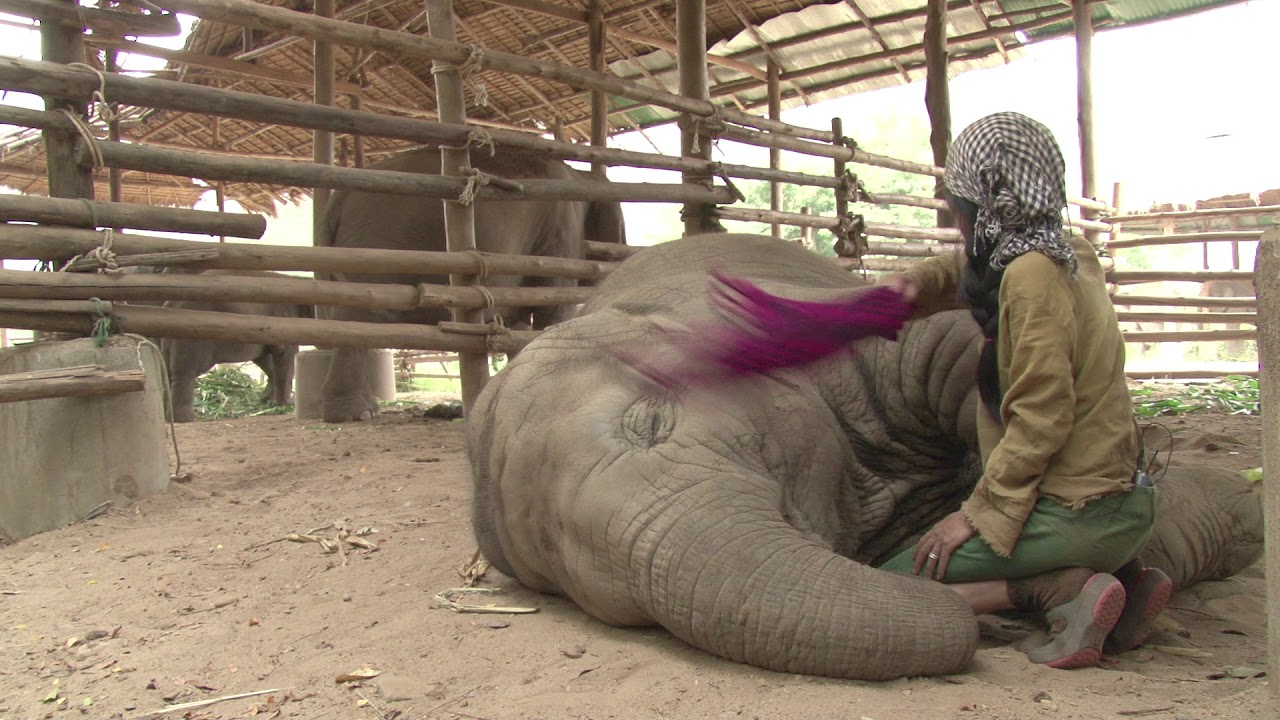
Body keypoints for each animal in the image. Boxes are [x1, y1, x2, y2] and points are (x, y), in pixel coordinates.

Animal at [315, 145, 626, 423]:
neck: (581, 177)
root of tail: (338, 196)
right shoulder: (560, 229)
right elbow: (553, 304)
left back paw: (368, 408)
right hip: (374, 243)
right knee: (358, 315)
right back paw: (354, 414)